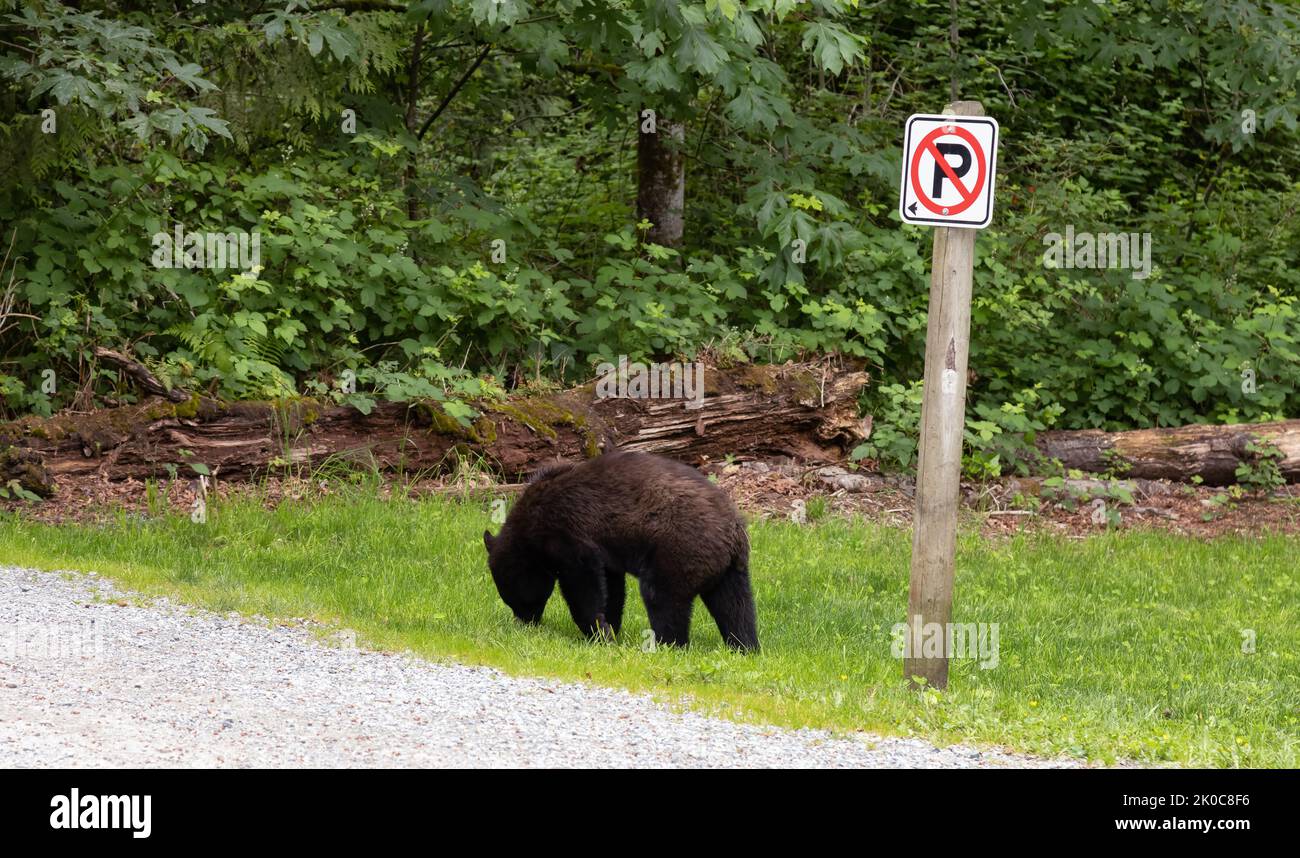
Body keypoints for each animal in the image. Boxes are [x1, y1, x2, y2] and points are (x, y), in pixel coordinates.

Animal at [482, 451, 759, 651]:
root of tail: (733, 530)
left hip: (679, 549)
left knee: (664, 598)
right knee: (736, 606)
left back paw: (667, 644)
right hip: (730, 569)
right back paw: (744, 646)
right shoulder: (606, 554)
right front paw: (610, 627)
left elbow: (583, 584)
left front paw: (598, 632)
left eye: (515, 597)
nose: (525, 622)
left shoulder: (567, 533)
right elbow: (612, 588)